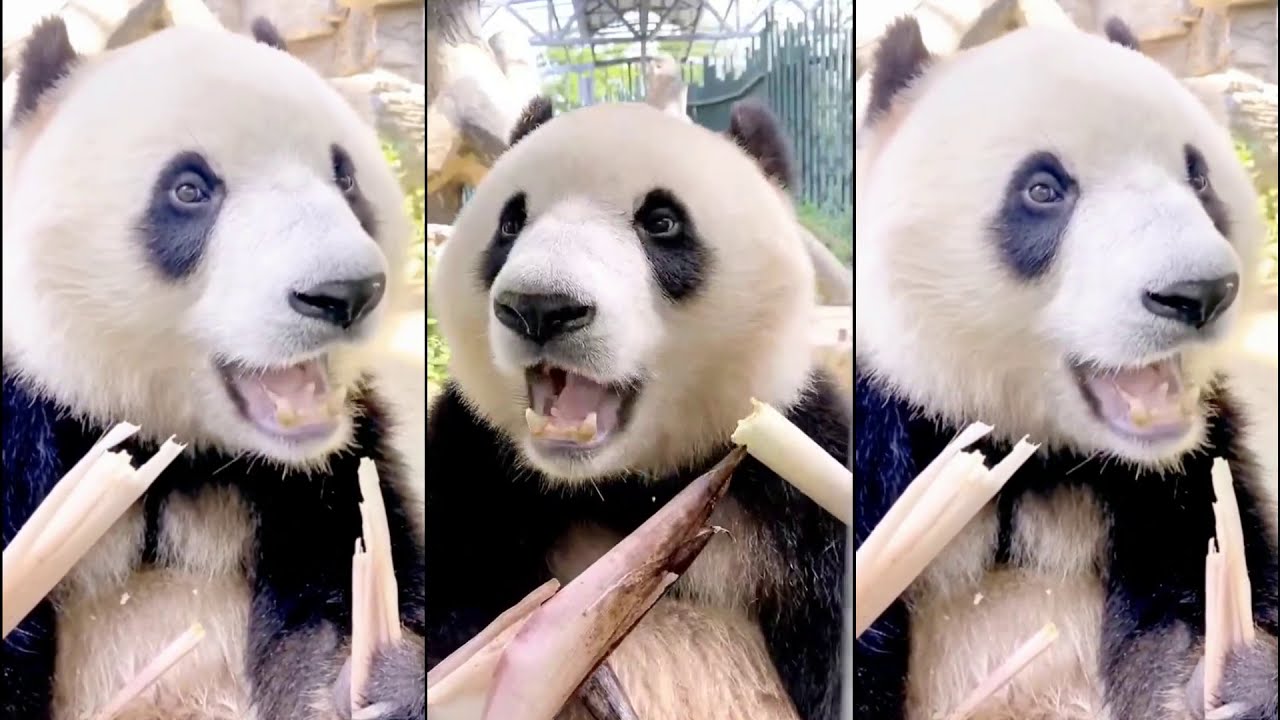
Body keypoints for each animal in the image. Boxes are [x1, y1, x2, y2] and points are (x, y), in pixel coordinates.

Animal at [2, 17, 425, 720]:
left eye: (345, 177)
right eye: (189, 190)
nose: (345, 293)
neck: (172, 451)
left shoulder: (330, 466)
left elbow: (342, 588)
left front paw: (377, 683)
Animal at [426, 97, 851, 719]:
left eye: (661, 223)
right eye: (510, 223)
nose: (539, 308)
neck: (626, 492)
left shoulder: (797, 504)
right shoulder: (473, 476)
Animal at [855, 15, 1278, 720]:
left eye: (1198, 177)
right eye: (1043, 190)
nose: (1199, 293)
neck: (1033, 457)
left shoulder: (1185, 470)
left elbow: (1192, 599)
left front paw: (1236, 683)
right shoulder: (883, 431)